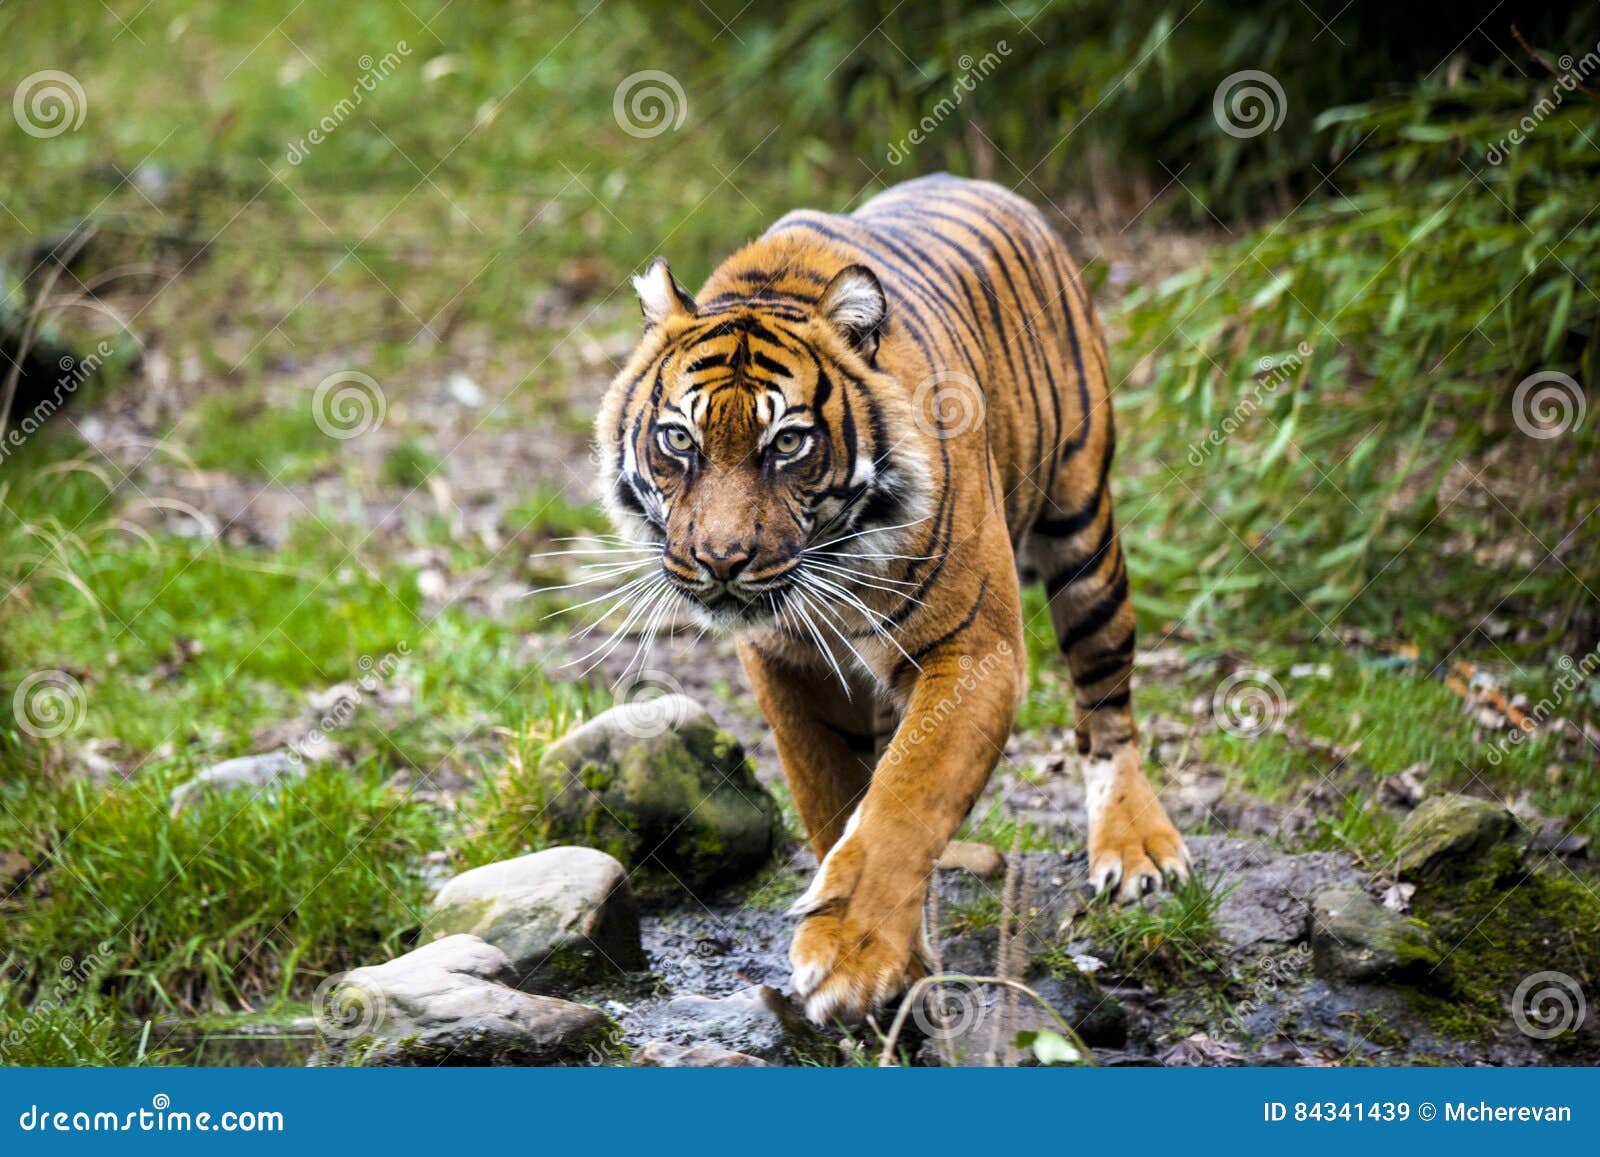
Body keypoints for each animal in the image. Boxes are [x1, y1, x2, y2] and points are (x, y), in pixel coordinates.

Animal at [596, 172, 1188, 1026]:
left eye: (788, 443)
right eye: (680, 440)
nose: (721, 560)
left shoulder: (975, 648)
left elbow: (907, 794)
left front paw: (852, 955)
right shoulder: (789, 663)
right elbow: (832, 794)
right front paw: (888, 954)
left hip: (1083, 525)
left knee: (1106, 699)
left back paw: (1136, 846)